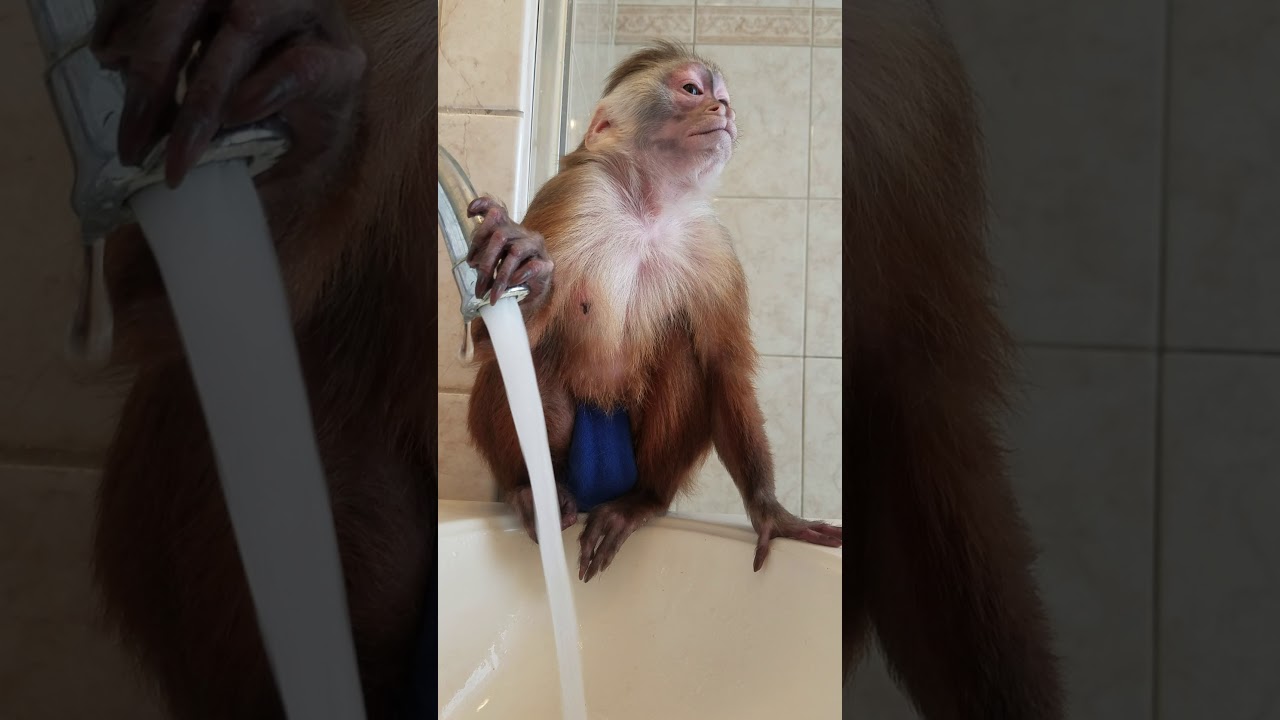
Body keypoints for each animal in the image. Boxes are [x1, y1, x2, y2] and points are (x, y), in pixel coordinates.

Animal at [460, 41, 843, 583]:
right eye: (692, 90)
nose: (724, 109)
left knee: (686, 355)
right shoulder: (573, 195)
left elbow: (723, 368)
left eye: (722, 96)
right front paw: (530, 280)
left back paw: (641, 503)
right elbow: (492, 338)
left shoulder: (713, 245)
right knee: (524, 361)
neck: (646, 205)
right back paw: (530, 490)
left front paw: (769, 510)